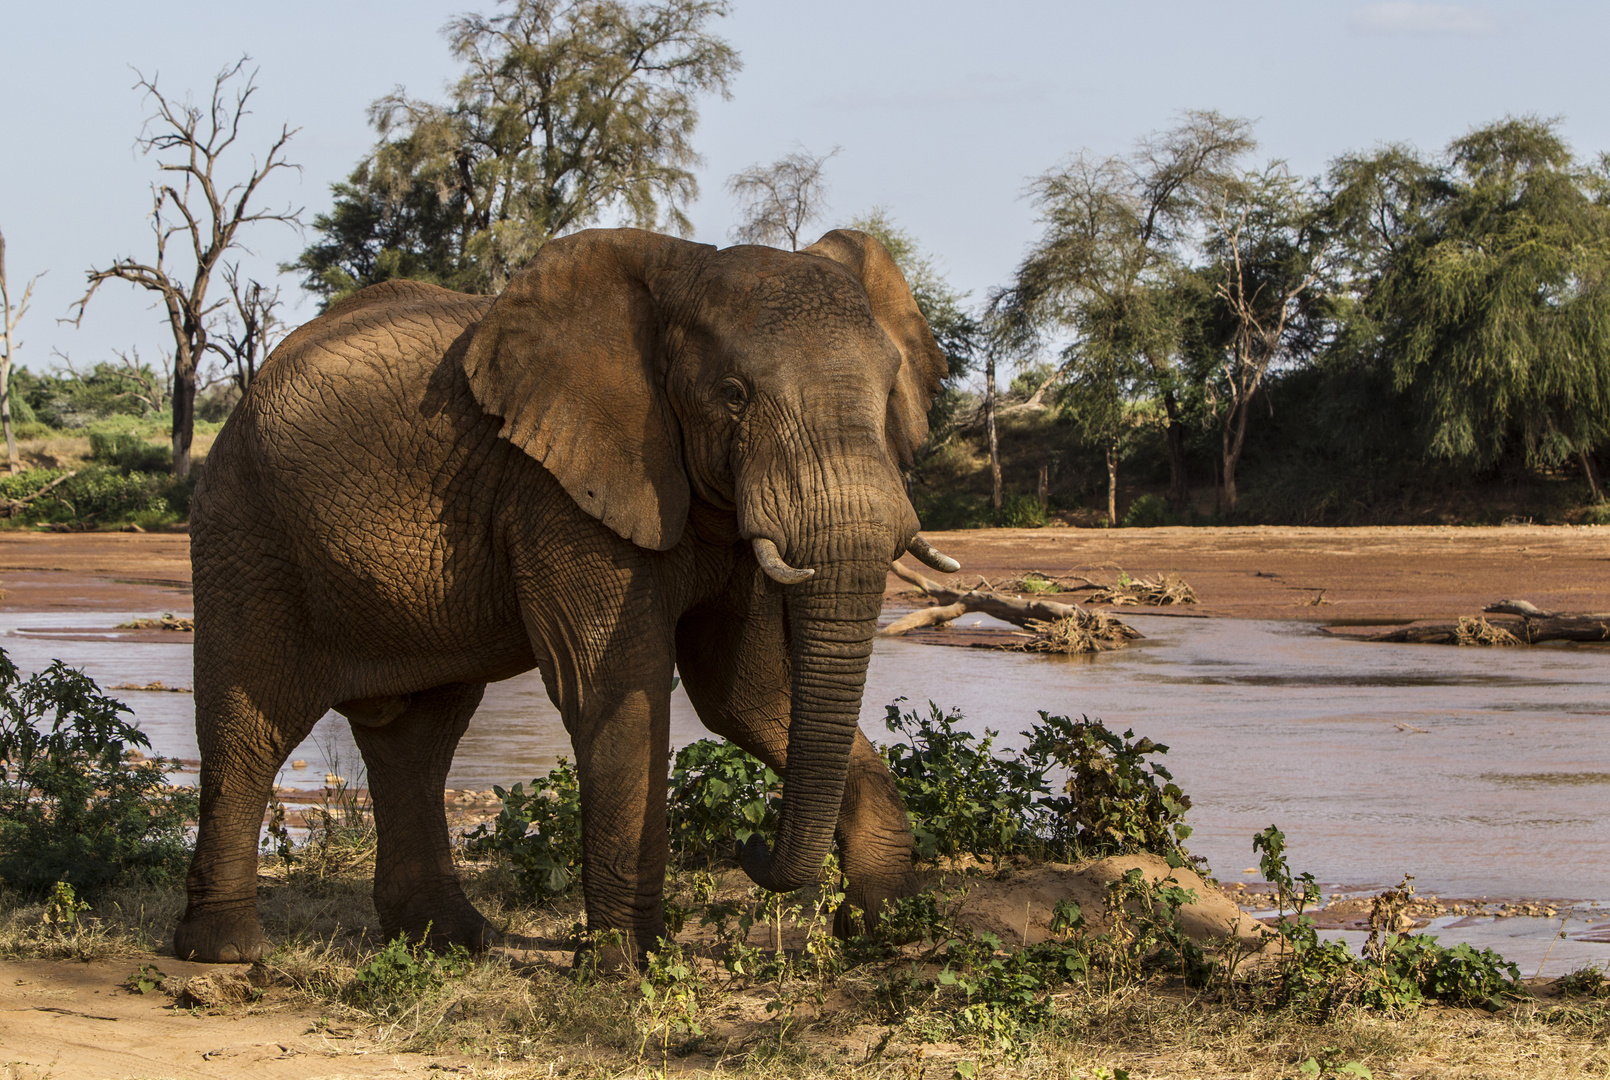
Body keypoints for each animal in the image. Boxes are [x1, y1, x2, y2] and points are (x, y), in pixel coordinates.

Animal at [172, 226, 964, 966]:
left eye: (889, 391)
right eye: (734, 397)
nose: (751, 848)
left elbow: (743, 694)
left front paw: (890, 928)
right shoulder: (556, 490)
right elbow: (616, 686)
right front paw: (628, 964)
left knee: (418, 739)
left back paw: (453, 942)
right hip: (246, 531)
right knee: (252, 727)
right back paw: (226, 953)